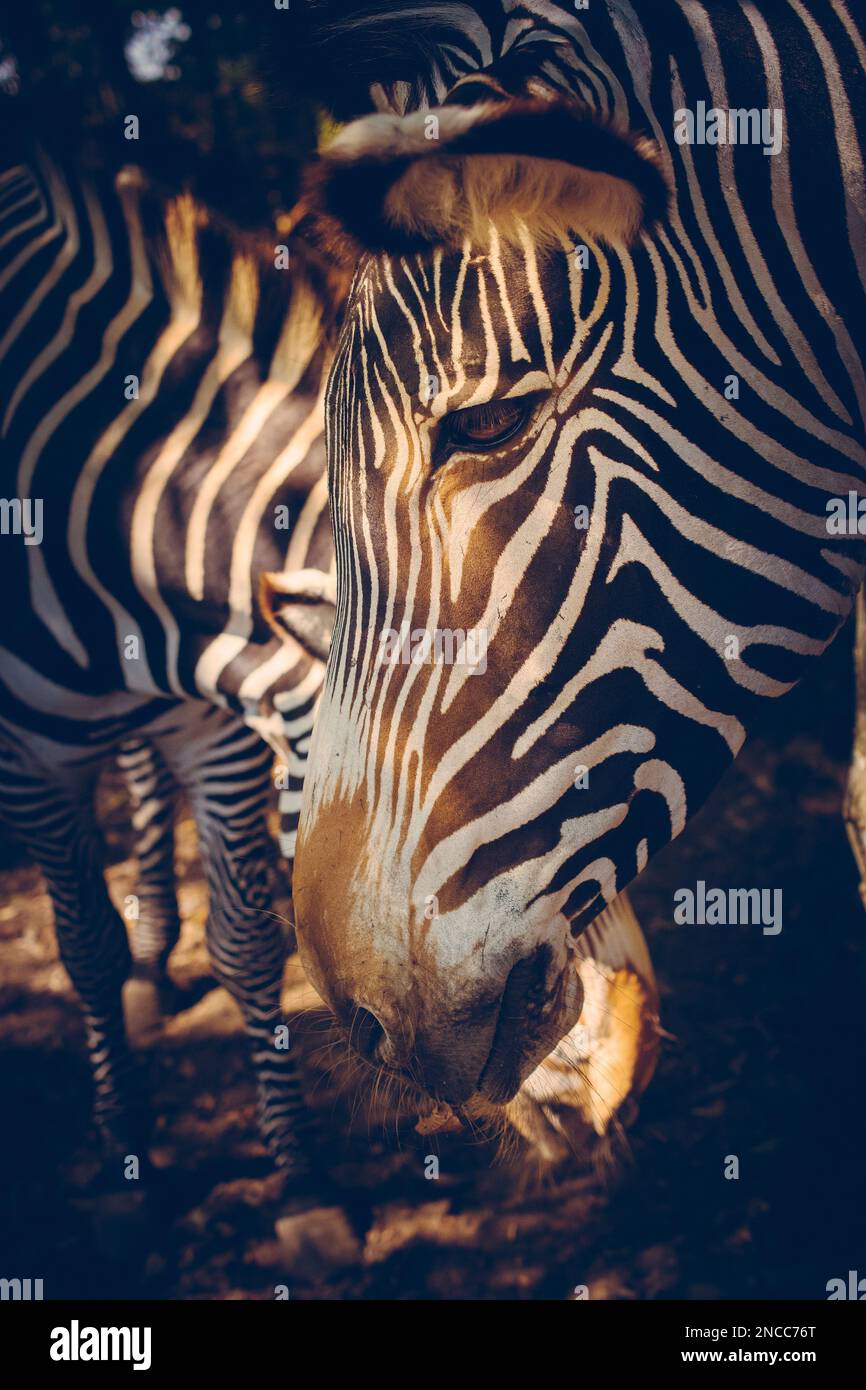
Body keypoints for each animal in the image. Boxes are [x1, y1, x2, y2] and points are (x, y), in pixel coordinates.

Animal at [0, 143, 342, 1177]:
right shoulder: (30, 763)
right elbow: (82, 944)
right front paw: (125, 1148)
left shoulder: (215, 721)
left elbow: (245, 938)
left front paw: (299, 1173)